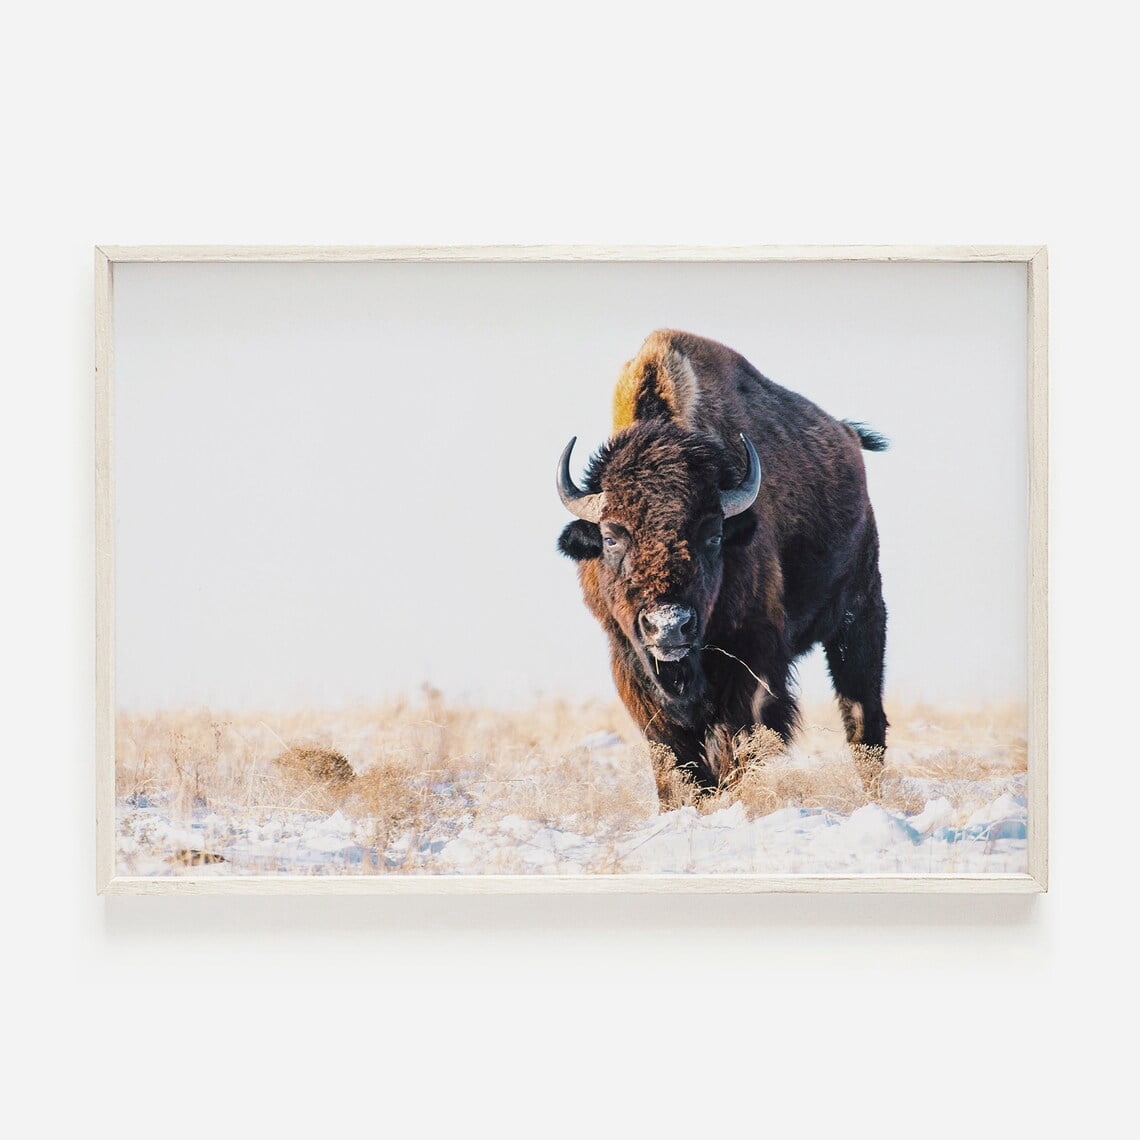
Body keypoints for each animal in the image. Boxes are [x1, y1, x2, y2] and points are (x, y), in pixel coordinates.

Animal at [557, 330, 888, 797]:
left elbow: (737, 742)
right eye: (610, 536)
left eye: (713, 535)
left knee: (863, 718)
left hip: (859, 614)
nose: (669, 626)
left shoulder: (753, 657)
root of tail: (847, 436)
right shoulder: (629, 661)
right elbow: (673, 757)